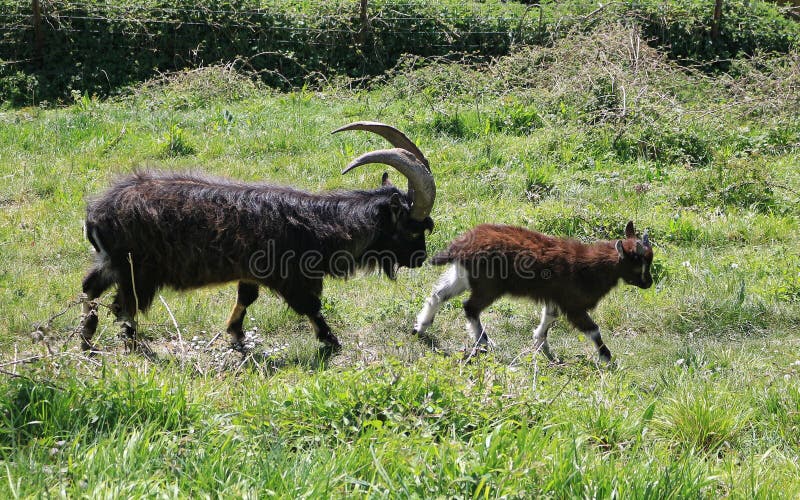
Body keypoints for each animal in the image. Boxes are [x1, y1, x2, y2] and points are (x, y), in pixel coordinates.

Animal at [79, 122, 435, 352]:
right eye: (412, 228)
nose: (420, 258)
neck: (320, 223)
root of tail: (96, 215)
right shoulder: (292, 276)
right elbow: (311, 306)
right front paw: (330, 340)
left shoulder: (250, 272)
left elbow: (246, 298)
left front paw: (236, 334)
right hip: (135, 271)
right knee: (123, 305)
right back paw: (130, 341)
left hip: (111, 262)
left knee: (91, 288)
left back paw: (86, 339)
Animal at [412, 221, 653, 362]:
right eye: (637, 264)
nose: (648, 283)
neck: (591, 266)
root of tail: (459, 247)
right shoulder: (573, 305)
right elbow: (593, 329)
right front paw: (606, 357)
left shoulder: (555, 299)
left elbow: (548, 319)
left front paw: (542, 347)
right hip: (489, 286)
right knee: (470, 307)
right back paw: (484, 342)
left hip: (462, 276)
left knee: (438, 295)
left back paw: (420, 328)